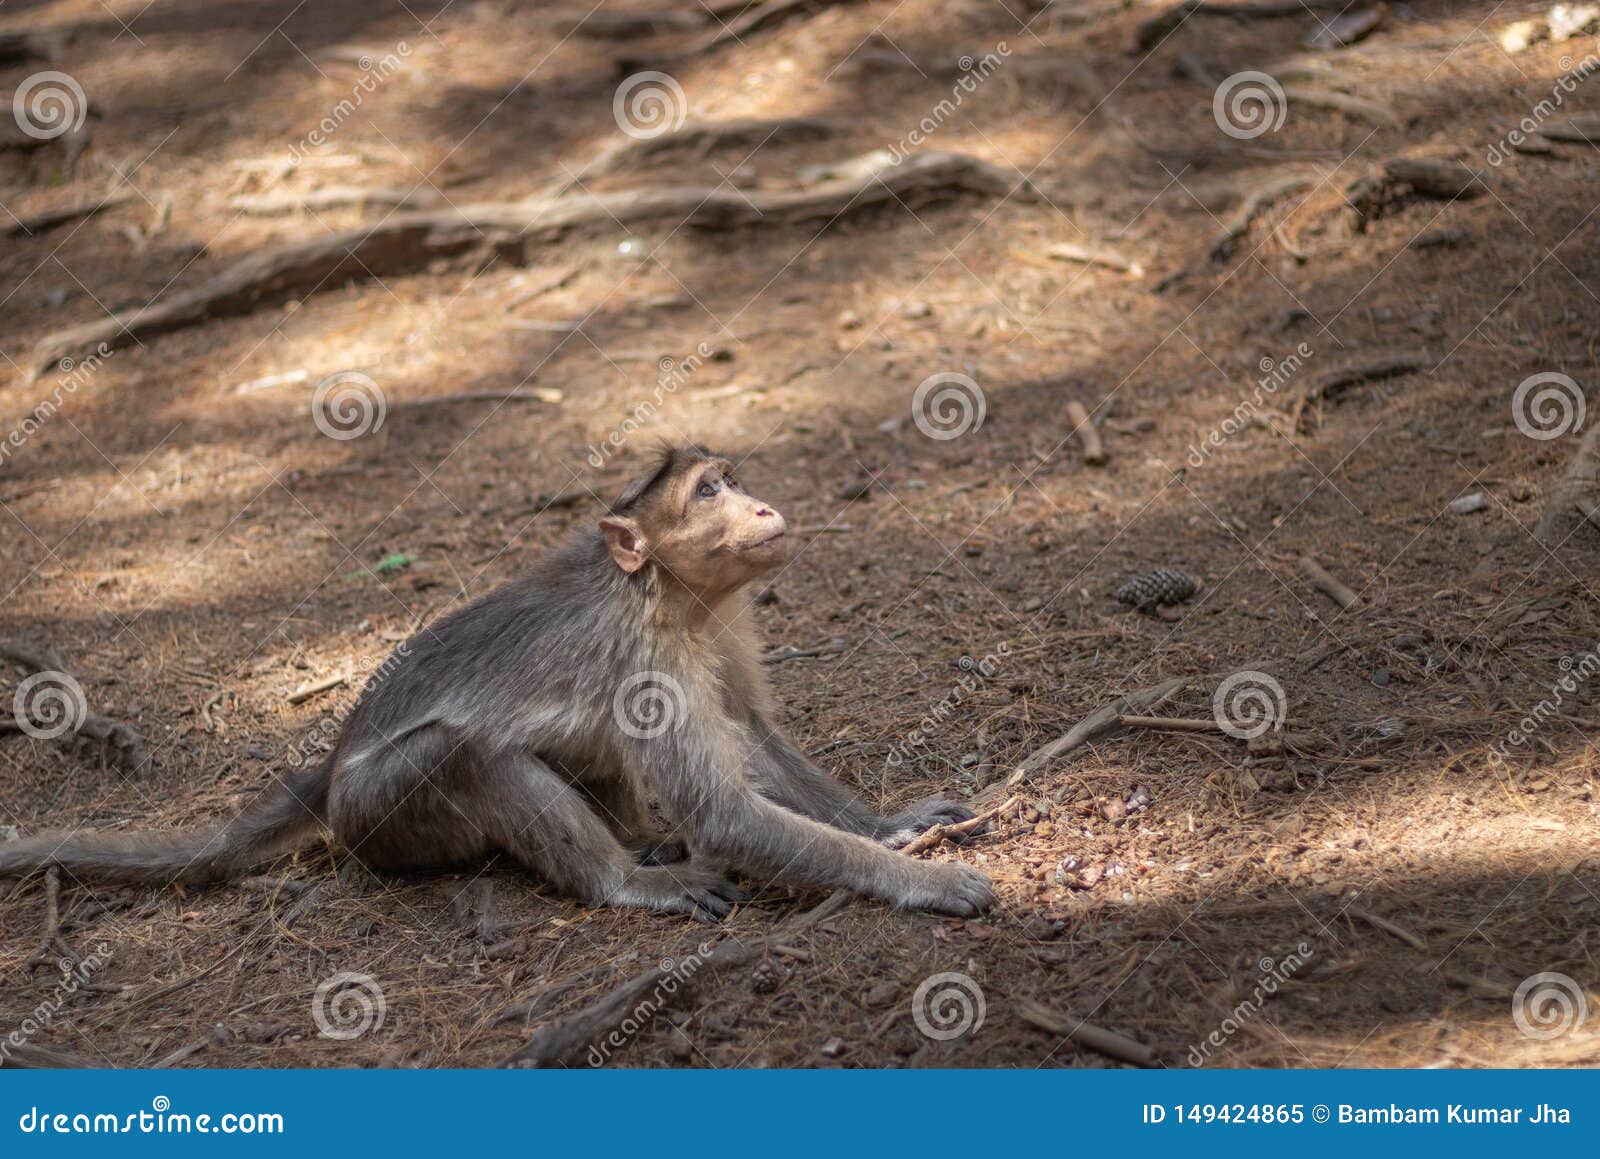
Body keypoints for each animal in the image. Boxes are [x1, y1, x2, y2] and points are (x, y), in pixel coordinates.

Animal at [0, 446, 993, 920]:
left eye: (732, 479)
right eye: (709, 492)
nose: (760, 505)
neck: (666, 595)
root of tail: (330, 766)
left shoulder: (722, 623)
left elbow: (749, 734)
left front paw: (886, 822)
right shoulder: (645, 659)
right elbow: (725, 812)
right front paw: (923, 882)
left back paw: (641, 841)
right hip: (381, 815)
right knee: (465, 752)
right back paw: (622, 878)